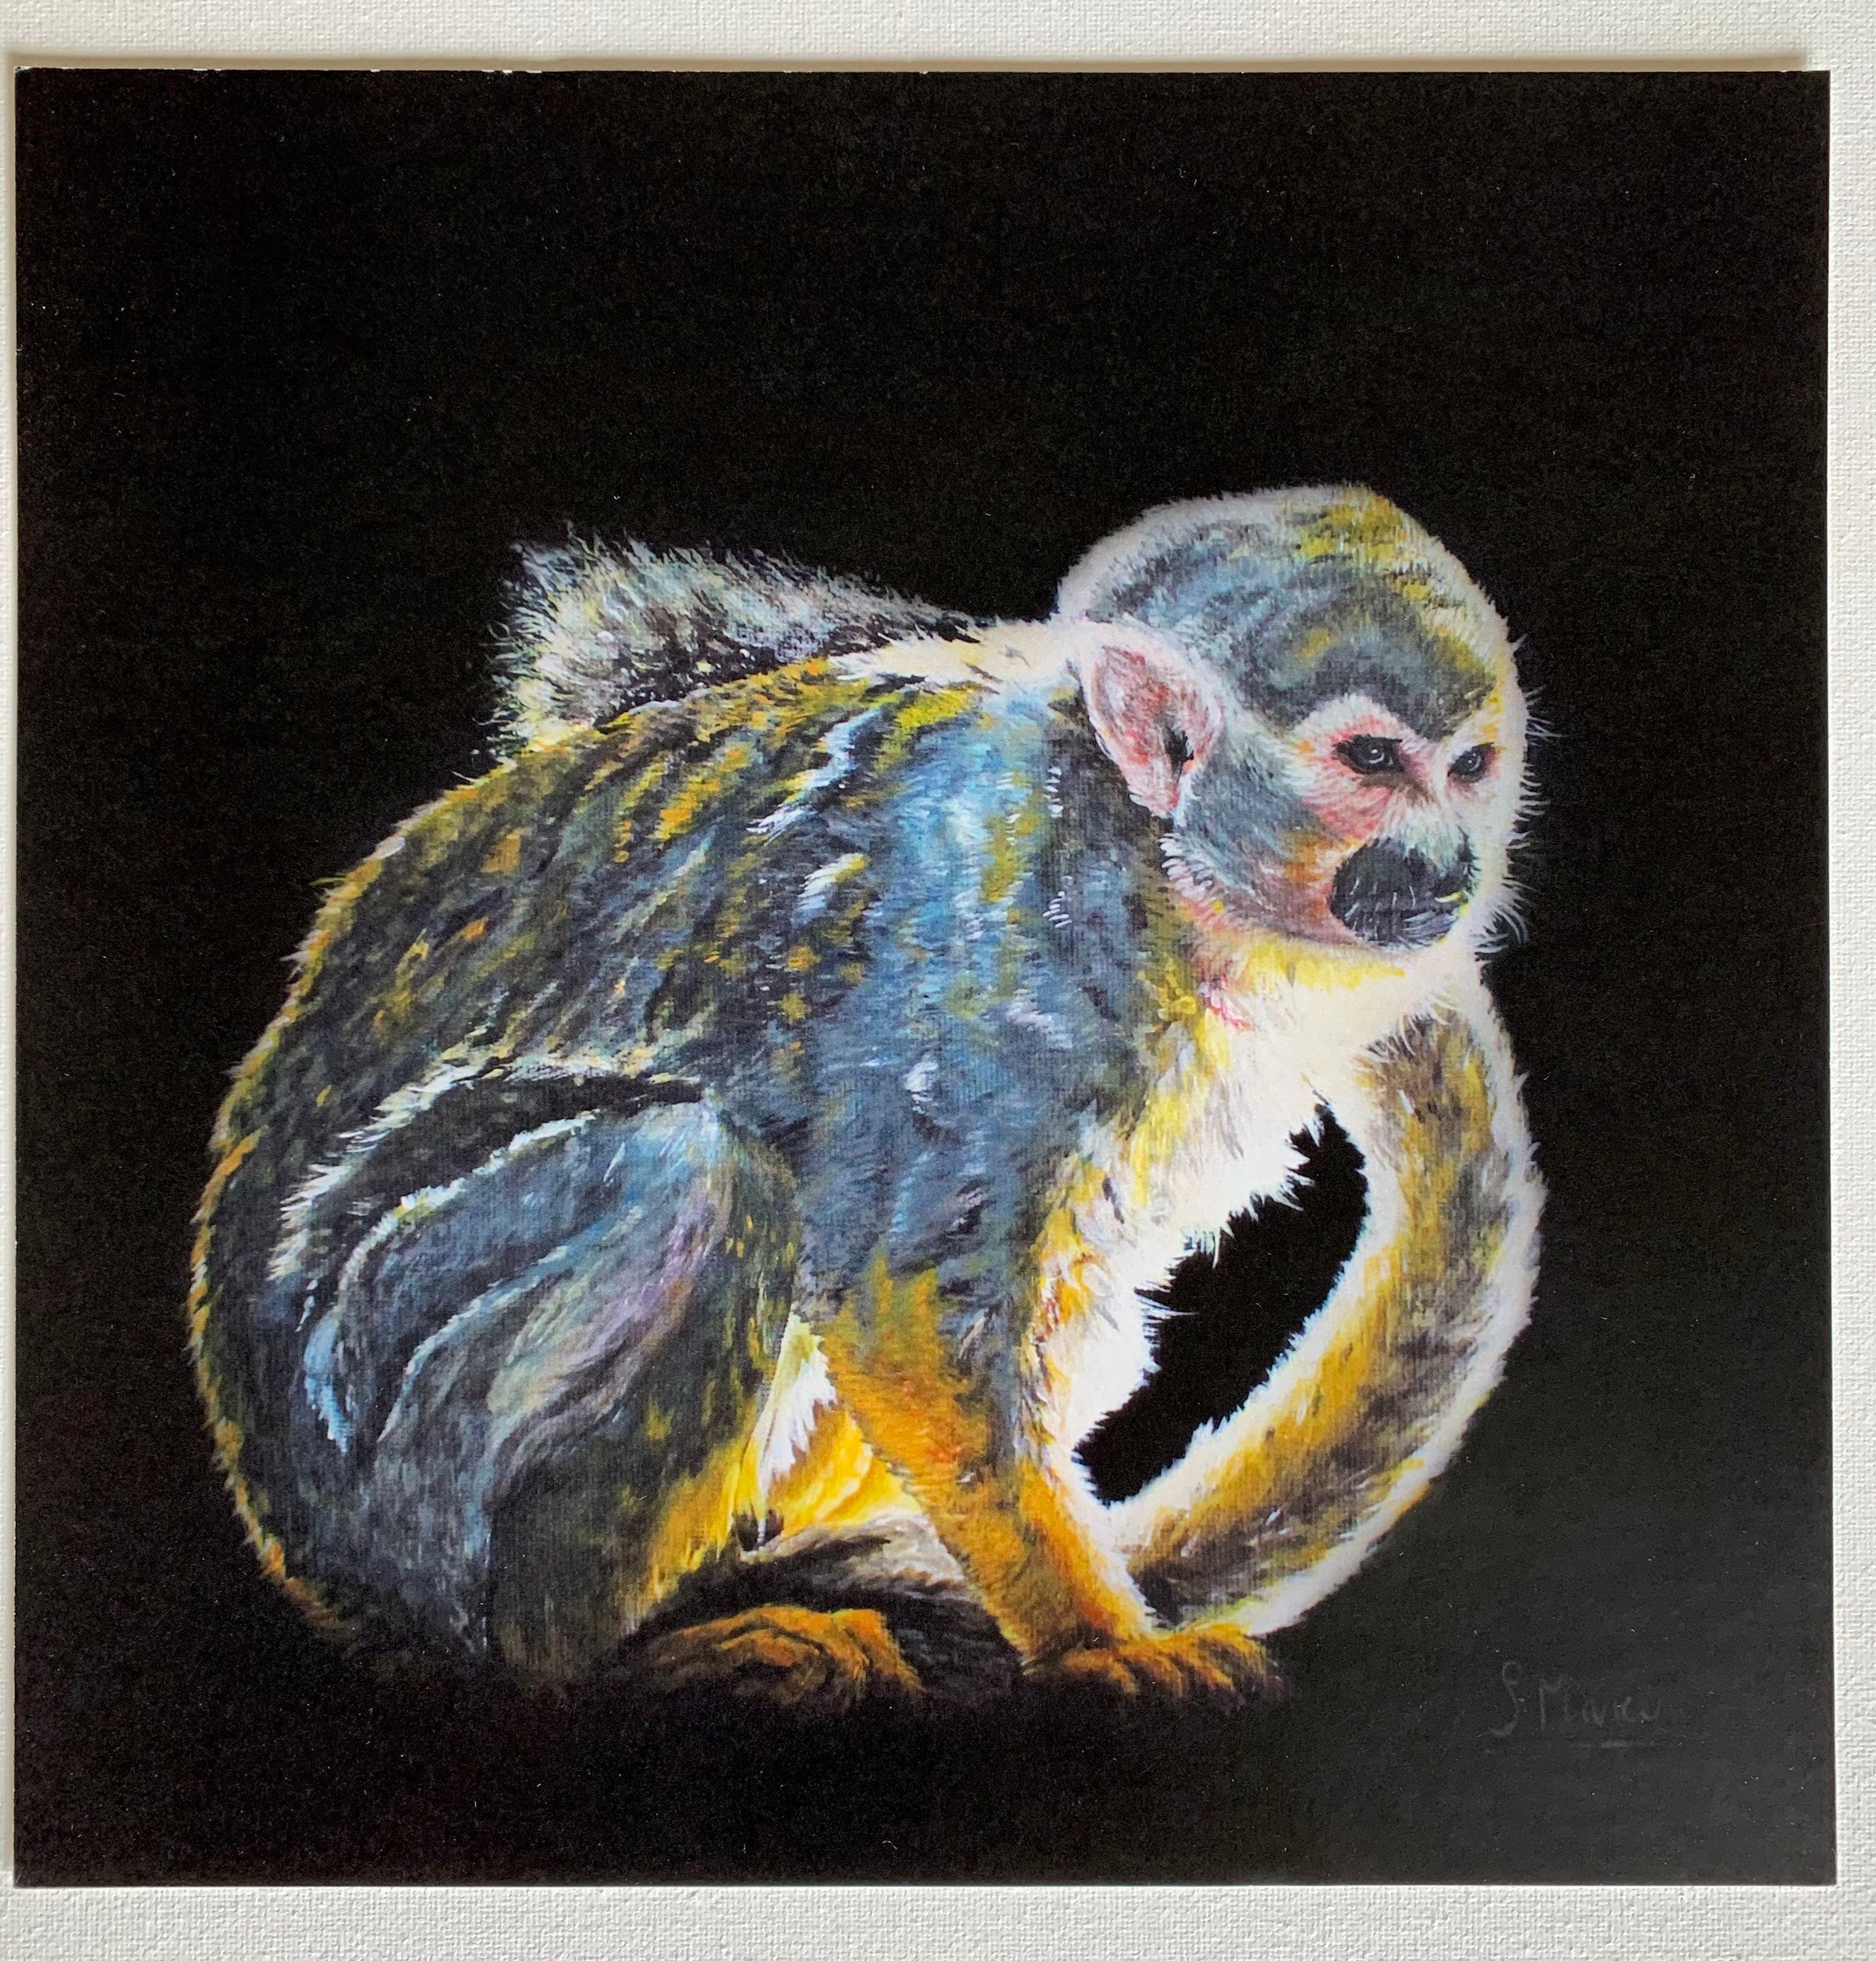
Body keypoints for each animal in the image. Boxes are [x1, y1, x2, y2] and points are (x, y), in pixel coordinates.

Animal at [188, 486, 1541, 1708]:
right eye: (1373, 761)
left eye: (1470, 768)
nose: (1449, 864)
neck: (1146, 853)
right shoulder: (1004, 949)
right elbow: (911, 1306)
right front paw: (1093, 1638)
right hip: (380, 1423)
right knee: (695, 1178)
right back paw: (580, 1664)